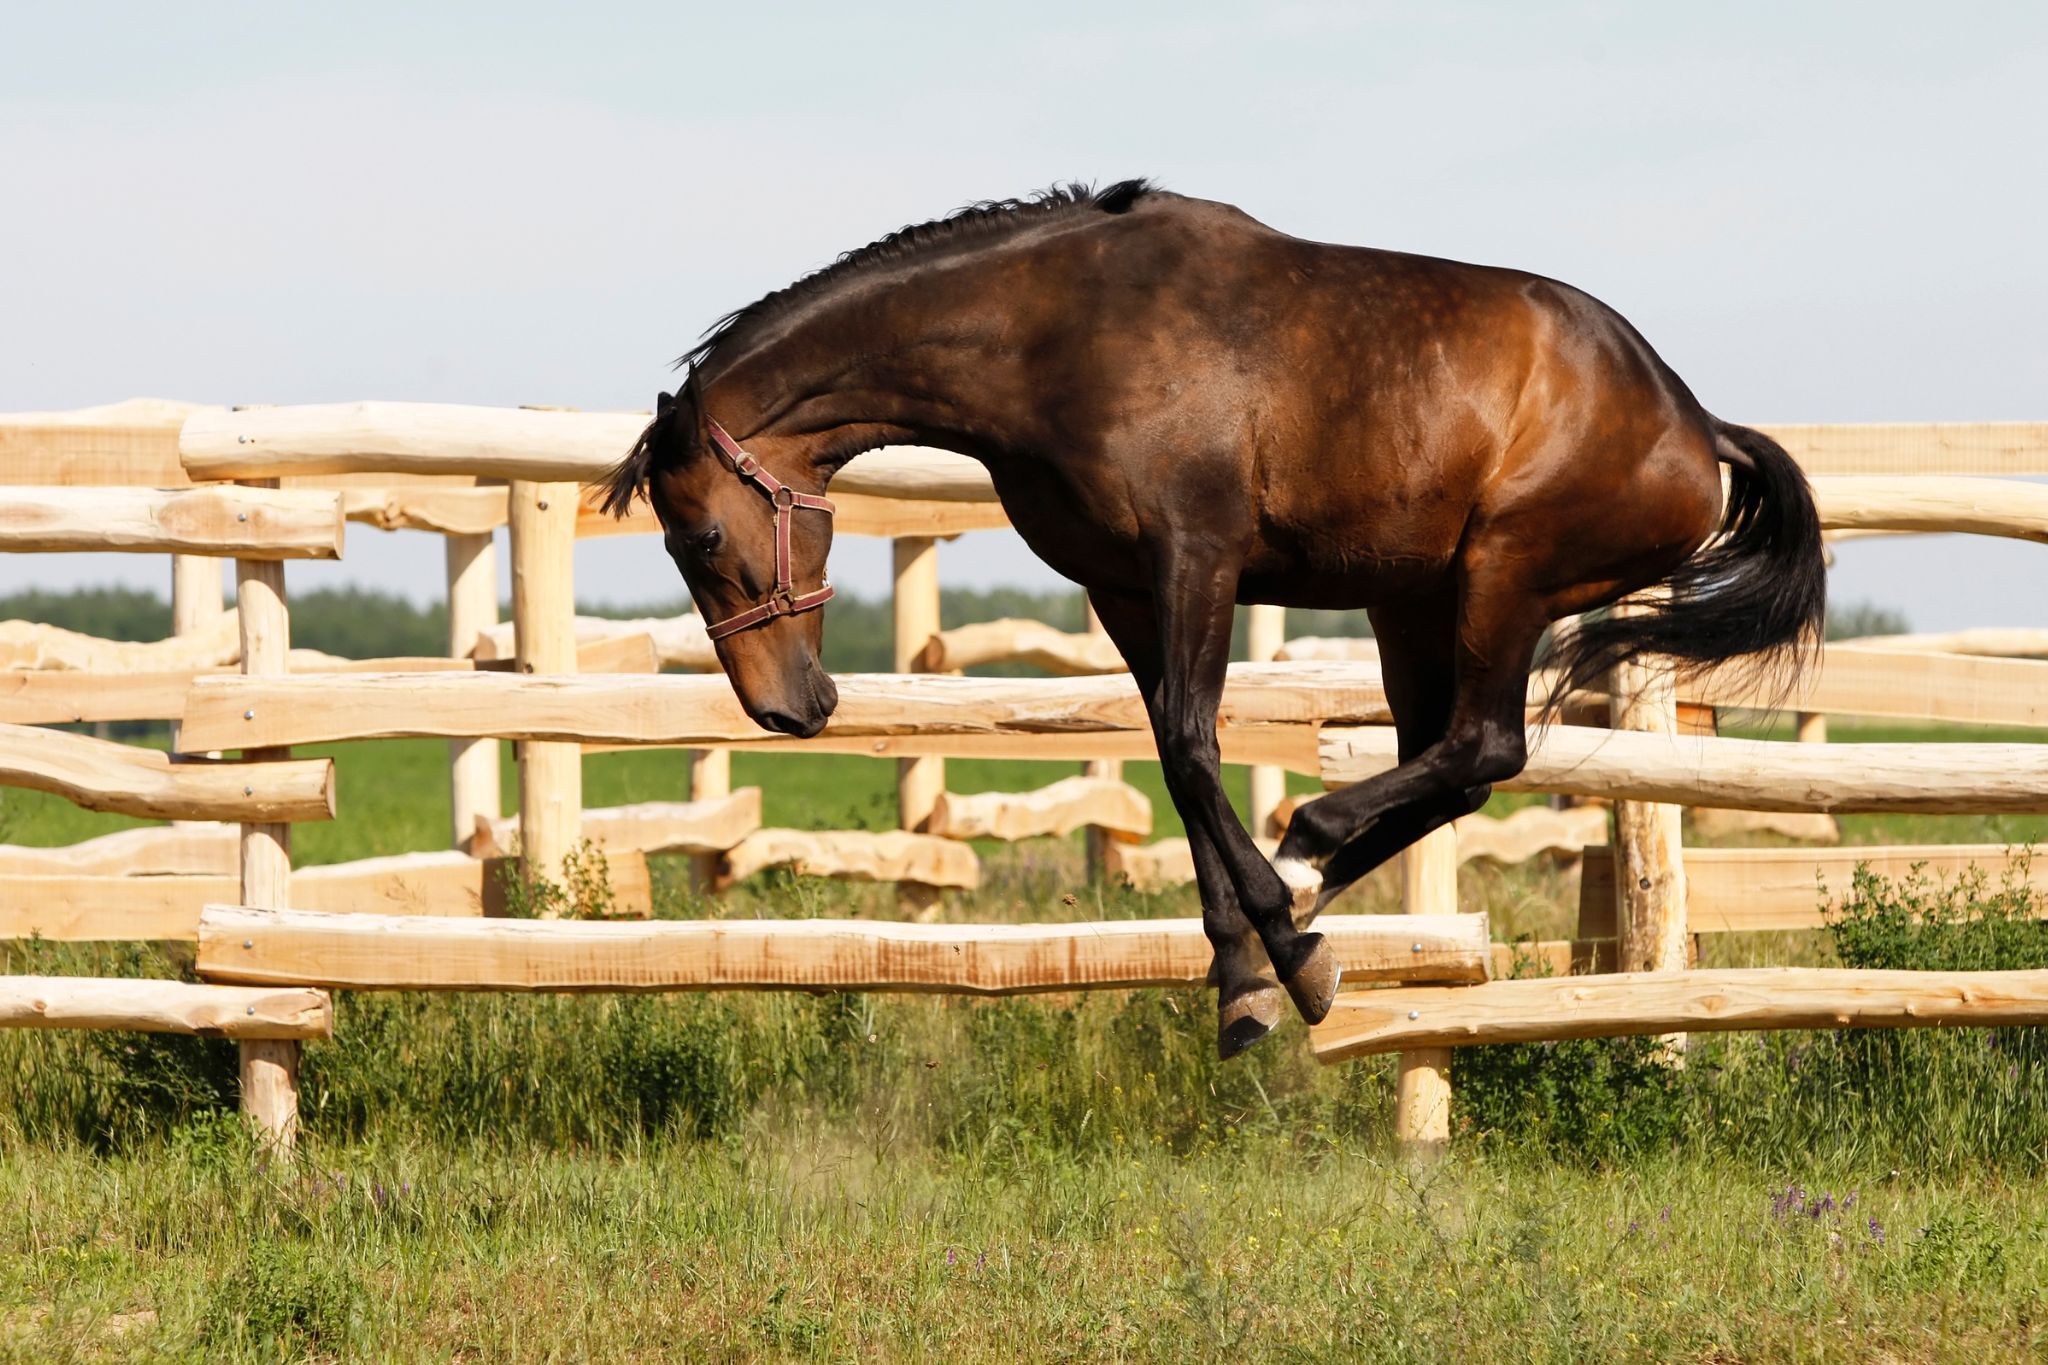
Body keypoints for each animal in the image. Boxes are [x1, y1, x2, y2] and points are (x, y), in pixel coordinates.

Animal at [603, 181, 1825, 1059]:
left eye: (697, 538)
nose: (787, 707)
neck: (1054, 335)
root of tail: (1691, 424)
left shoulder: (1197, 559)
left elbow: (1193, 749)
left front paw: (1288, 952)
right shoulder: (1125, 589)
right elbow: (1173, 755)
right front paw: (1245, 982)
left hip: (1500, 576)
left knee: (1482, 746)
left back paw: (1311, 856)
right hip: (1411, 603)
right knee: (1455, 764)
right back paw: (1314, 887)